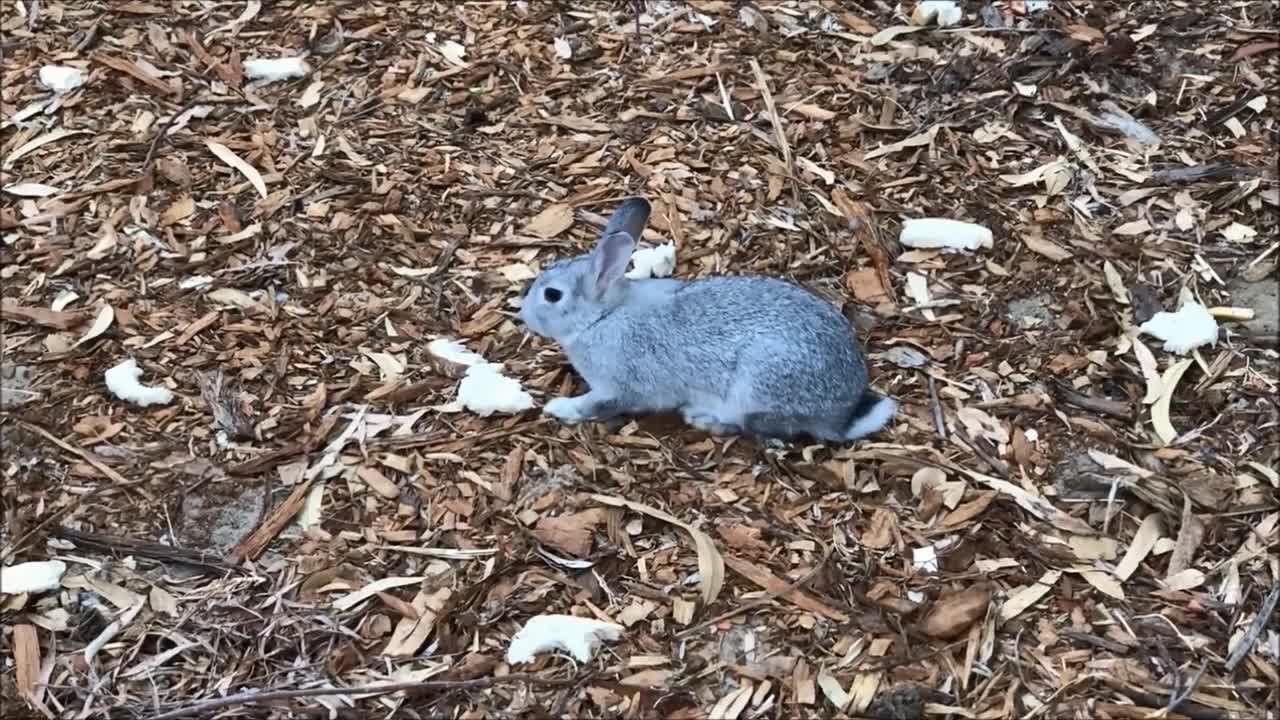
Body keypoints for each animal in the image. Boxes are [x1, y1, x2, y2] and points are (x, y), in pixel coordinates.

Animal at [517, 196, 898, 444]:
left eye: (552, 295)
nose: (524, 315)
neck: (602, 316)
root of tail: (841, 416)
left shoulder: (621, 387)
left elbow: (596, 405)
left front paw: (558, 407)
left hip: (756, 387)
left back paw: (703, 419)